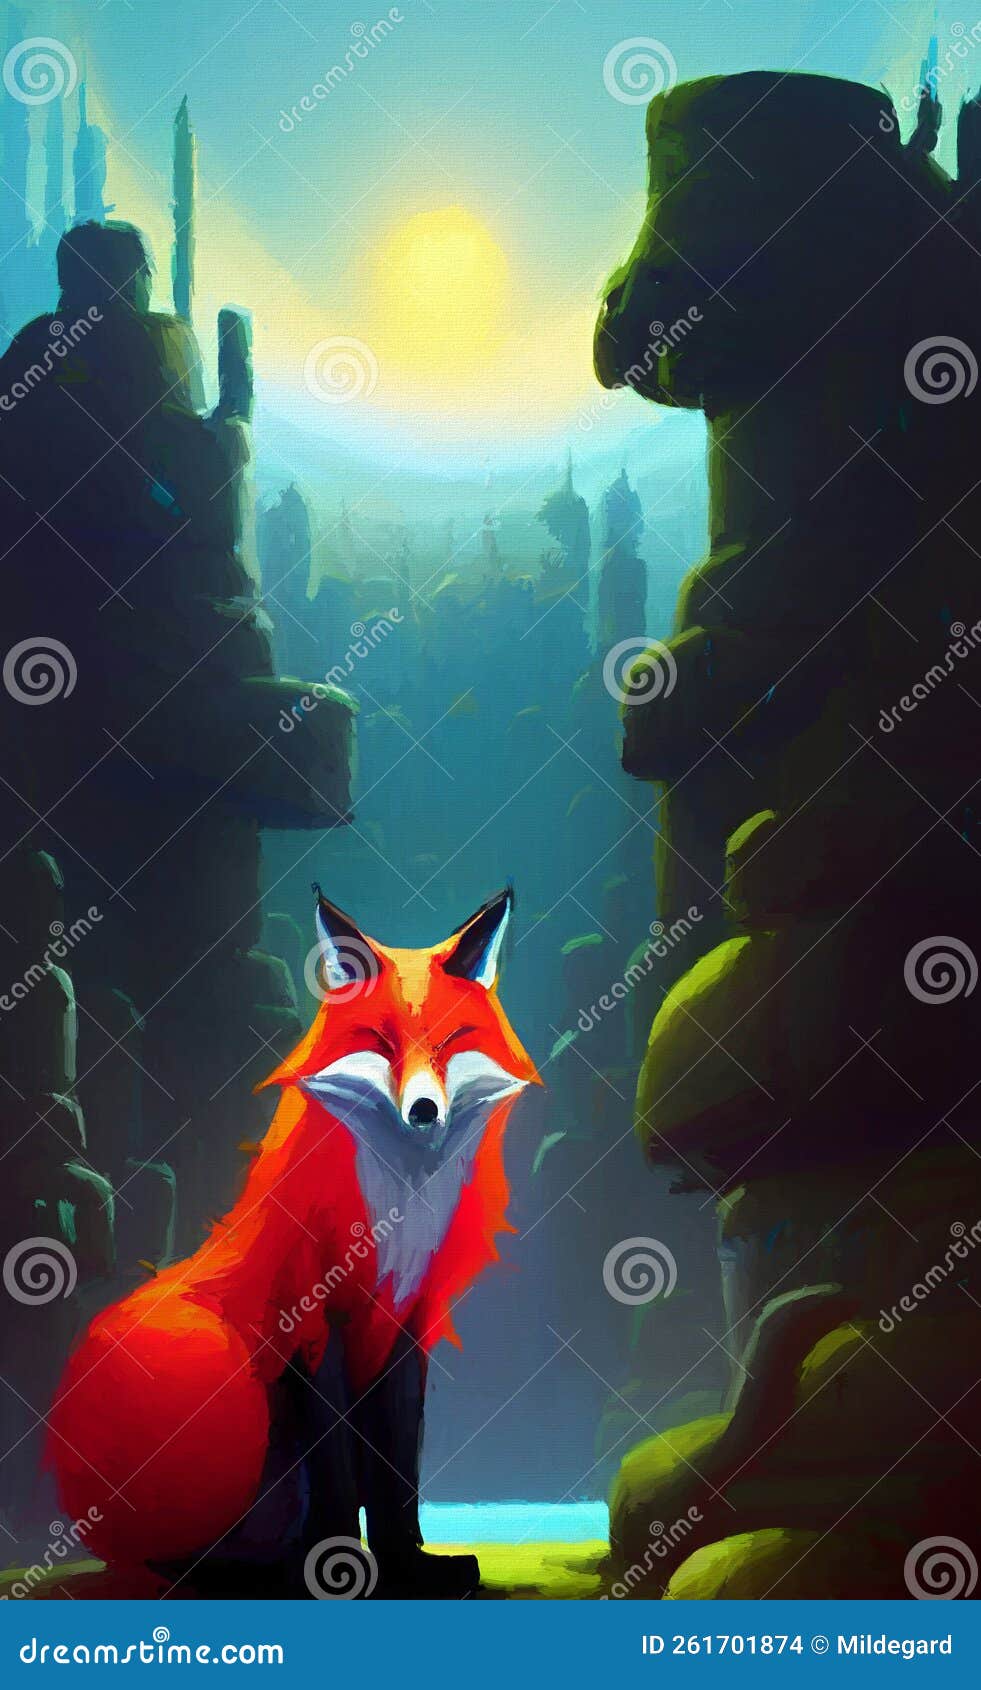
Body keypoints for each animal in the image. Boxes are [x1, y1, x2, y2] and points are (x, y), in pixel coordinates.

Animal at [48, 886, 538, 1597]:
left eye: (450, 1042)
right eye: (381, 1043)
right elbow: (336, 1471)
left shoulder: (403, 1321)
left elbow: (395, 1469)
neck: (399, 1209)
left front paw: (410, 1566)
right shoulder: (309, 1317)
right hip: (214, 1364)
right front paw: (339, 1569)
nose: (423, 1111)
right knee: (163, 1561)